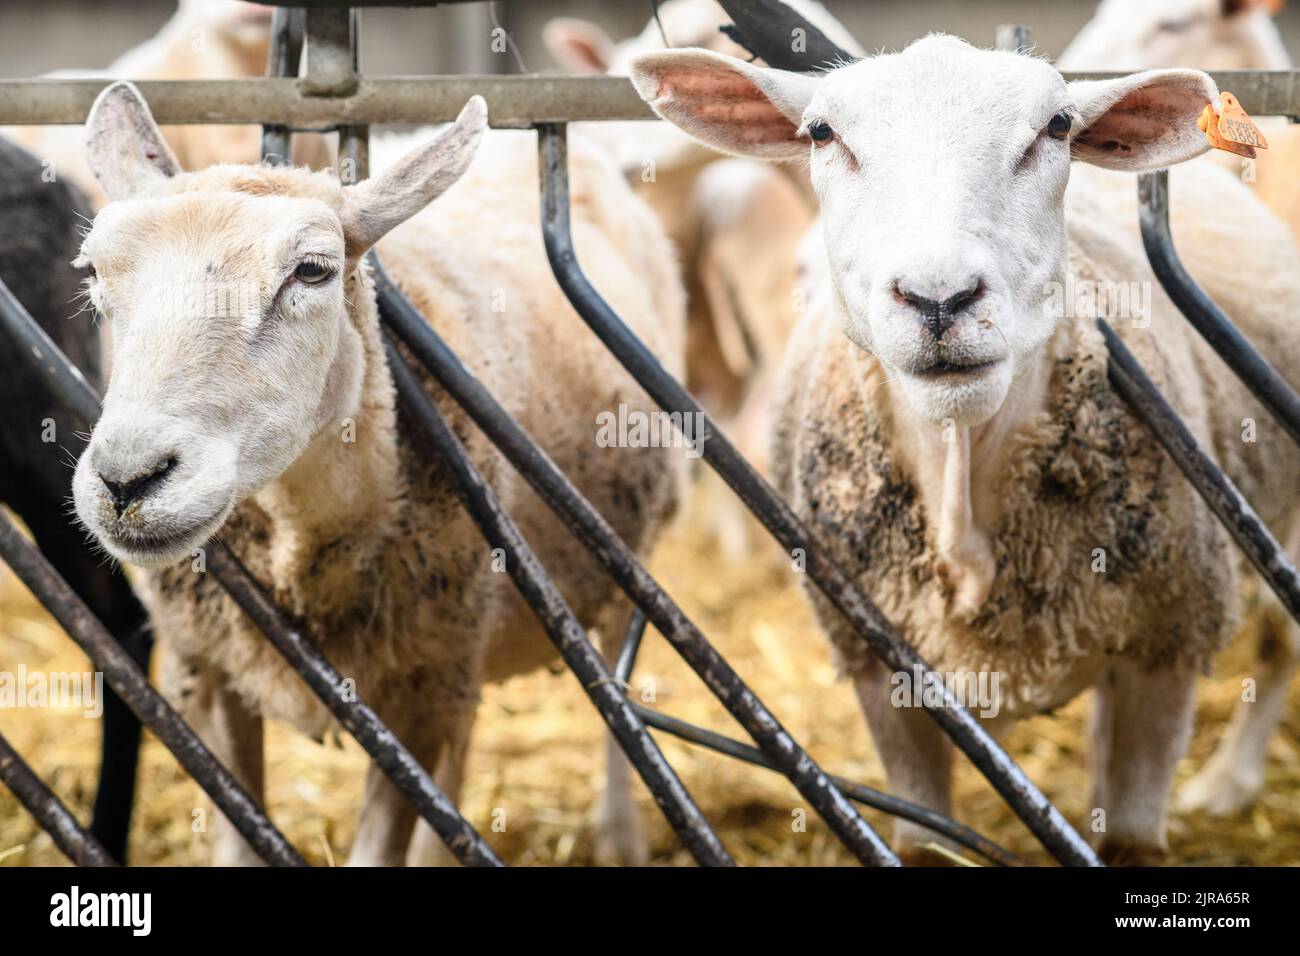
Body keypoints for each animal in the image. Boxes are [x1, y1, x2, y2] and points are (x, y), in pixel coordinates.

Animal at [70, 81, 686, 866]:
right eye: (93, 273)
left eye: (312, 270)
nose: (127, 480)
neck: (308, 553)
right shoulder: (212, 679)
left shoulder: (415, 696)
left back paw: (619, 835)